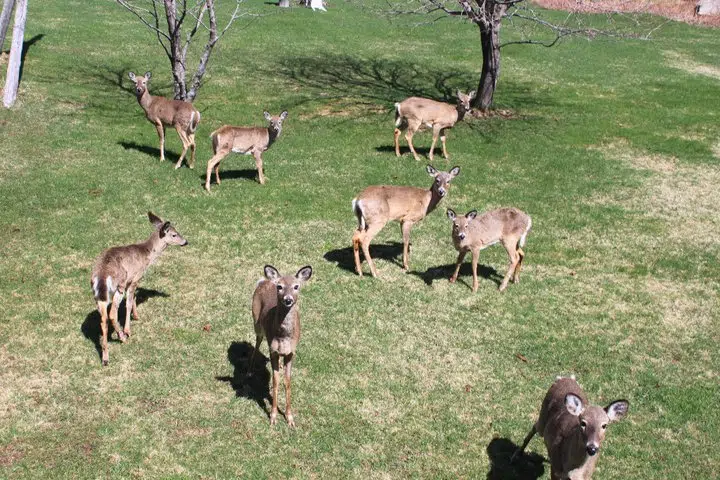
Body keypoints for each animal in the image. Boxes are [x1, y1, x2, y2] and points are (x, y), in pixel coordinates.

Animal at [90, 212, 188, 366]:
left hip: (99, 295)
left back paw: (105, 358)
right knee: (112, 313)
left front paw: (136, 316)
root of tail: (101, 275)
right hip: (119, 286)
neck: (146, 255)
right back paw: (122, 337)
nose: (185, 241)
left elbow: (134, 298)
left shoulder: (132, 281)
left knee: (103, 318)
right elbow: (129, 303)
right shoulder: (135, 278)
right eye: (174, 234)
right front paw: (128, 330)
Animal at [248, 265, 313, 427]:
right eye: (280, 286)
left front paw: (290, 418)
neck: (284, 338)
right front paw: (273, 416)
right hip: (256, 321)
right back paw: (249, 371)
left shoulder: (291, 352)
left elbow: (287, 382)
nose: (288, 300)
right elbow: (276, 382)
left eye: (296, 286)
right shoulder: (273, 351)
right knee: (257, 342)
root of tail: (263, 281)